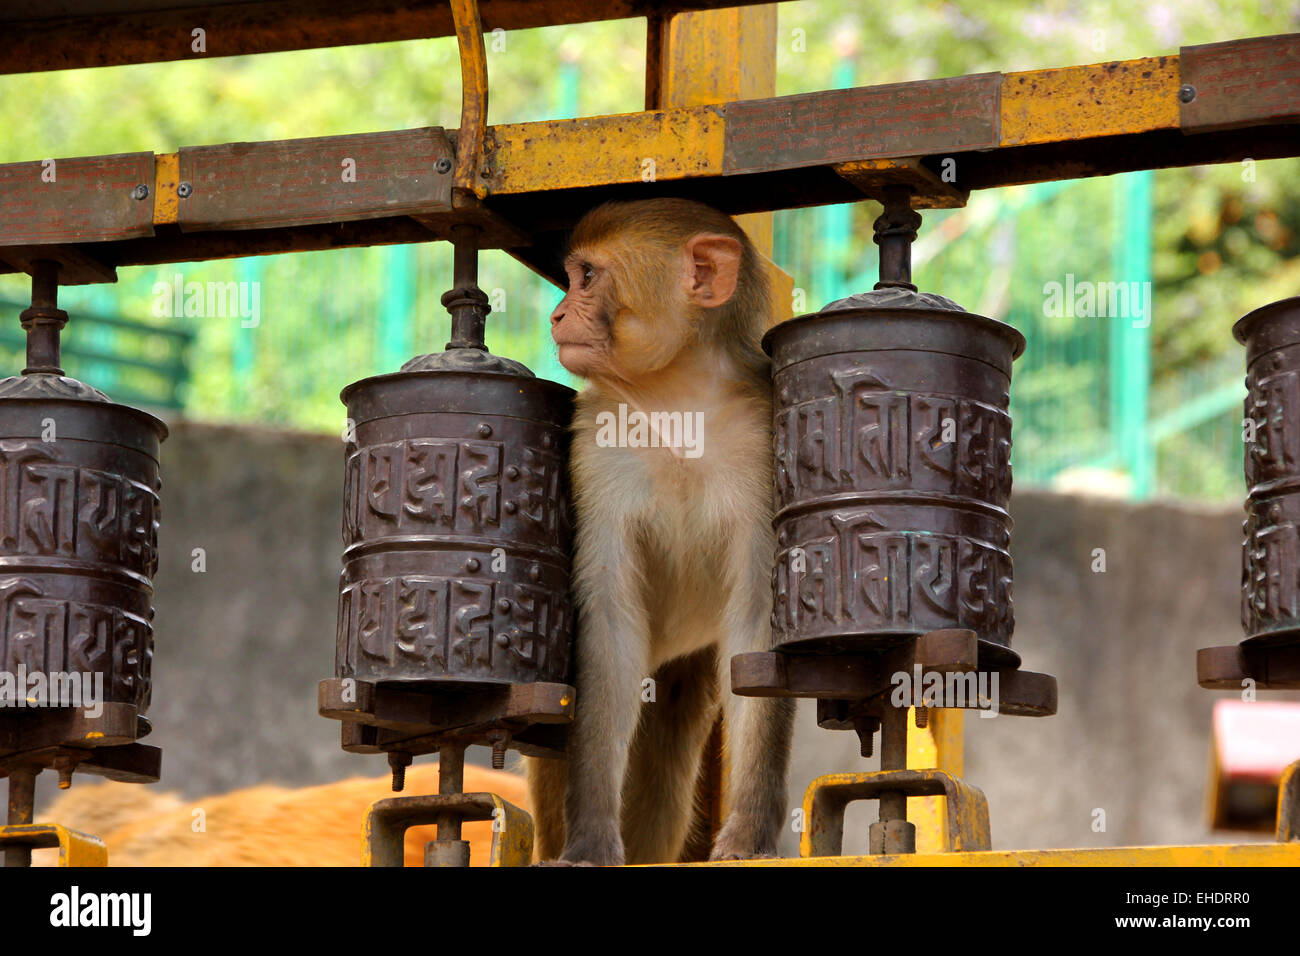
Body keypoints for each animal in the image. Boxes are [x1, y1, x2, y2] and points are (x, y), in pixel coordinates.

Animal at [526, 197, 795, 865]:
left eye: (586, 276)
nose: (558, 313)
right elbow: (609, 624)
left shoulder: (764, 440)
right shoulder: (596, 444)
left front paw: (750, 835)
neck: (677, 402)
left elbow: (756, 624)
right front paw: (589, 839)